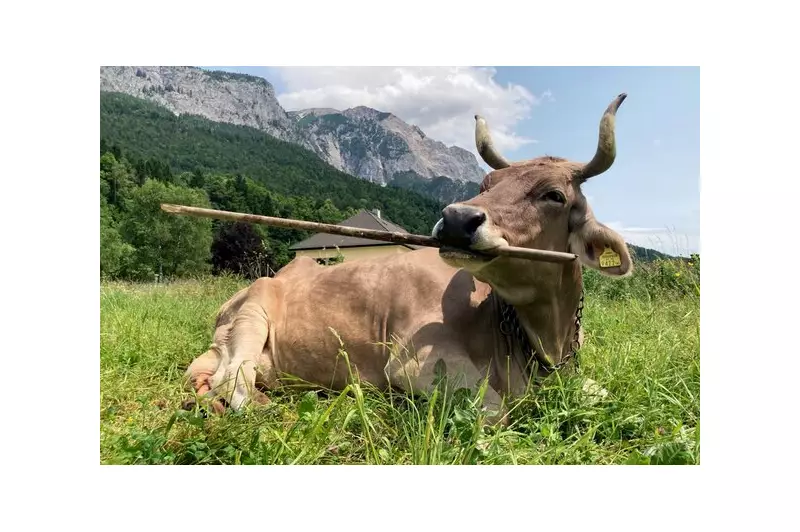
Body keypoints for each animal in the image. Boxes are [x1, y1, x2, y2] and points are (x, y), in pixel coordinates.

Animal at [182, 93, 633, 423]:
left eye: (554, 195)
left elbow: (605, 393)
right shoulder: (415, 364)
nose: (457, 219)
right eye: (486, 184)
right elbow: (495, 412)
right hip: (252, 314)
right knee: (233, 381)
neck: (544, 344)